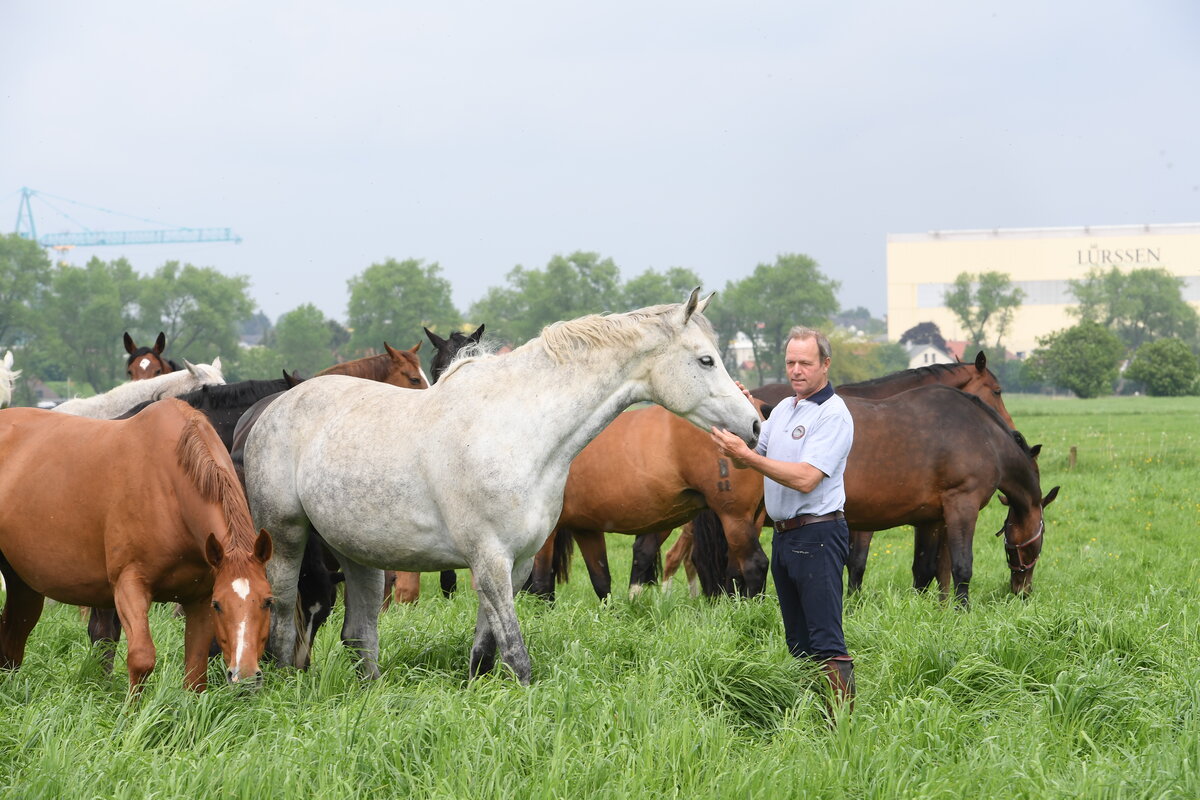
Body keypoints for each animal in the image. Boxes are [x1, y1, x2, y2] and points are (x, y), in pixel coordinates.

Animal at [0, 399, 273, 691]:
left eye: (268, 602)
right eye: (219, 605)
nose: (245, 676)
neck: (169, 486)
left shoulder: (198, 600)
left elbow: (195, 674)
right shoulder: (129, 587)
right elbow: (141, 659)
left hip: (22, 586)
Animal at [243, 291, 760, 683]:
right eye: (706, 360)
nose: (754, 426)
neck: (517, 428)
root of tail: (274, 407)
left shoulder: (519, 562)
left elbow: (483, 654)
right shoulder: (490, 562)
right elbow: (515, 655)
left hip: (358, 552)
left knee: (359, 634)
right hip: (287, 540)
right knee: (283, 621)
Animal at [691, 385, 1058, 605]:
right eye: (1037, 543)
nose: (1022, 591)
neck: (982, 436)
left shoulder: (934, 519)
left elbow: (930, 569)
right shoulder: (962, 505)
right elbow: (962, 565)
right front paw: (962, 611)